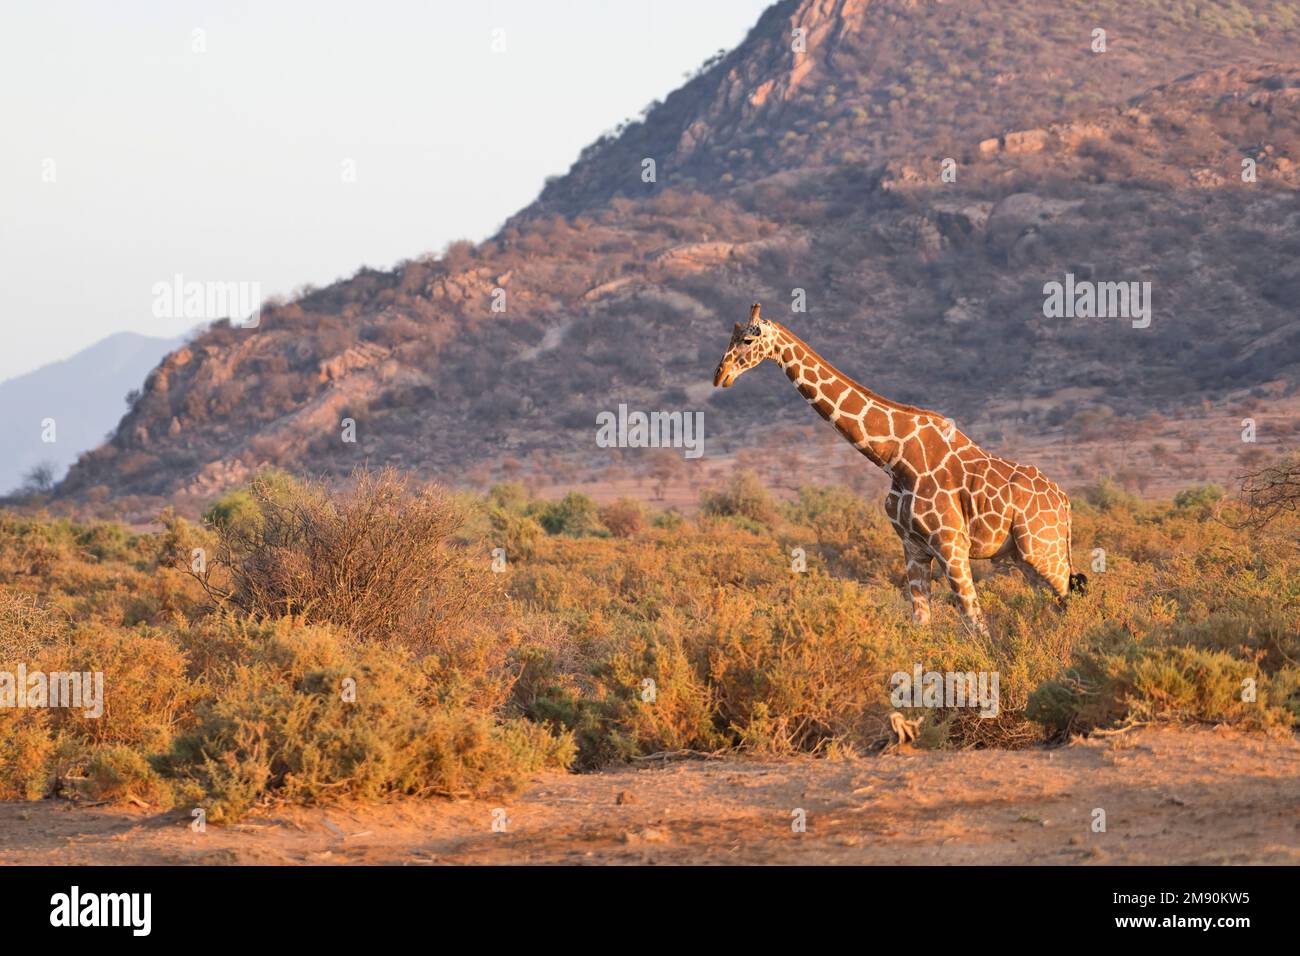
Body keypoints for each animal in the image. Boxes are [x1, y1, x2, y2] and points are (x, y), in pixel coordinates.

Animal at [713, 304, 1086, 636]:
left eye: (748, 339)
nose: (720, 375)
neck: (893, 458)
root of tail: (1065, 501)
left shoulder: (951, 545)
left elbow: (975, 622)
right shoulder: (913, 548)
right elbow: (921, 622)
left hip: (1043, 550)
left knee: (1069, 598)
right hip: (1026, 558)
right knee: (1056, 601)